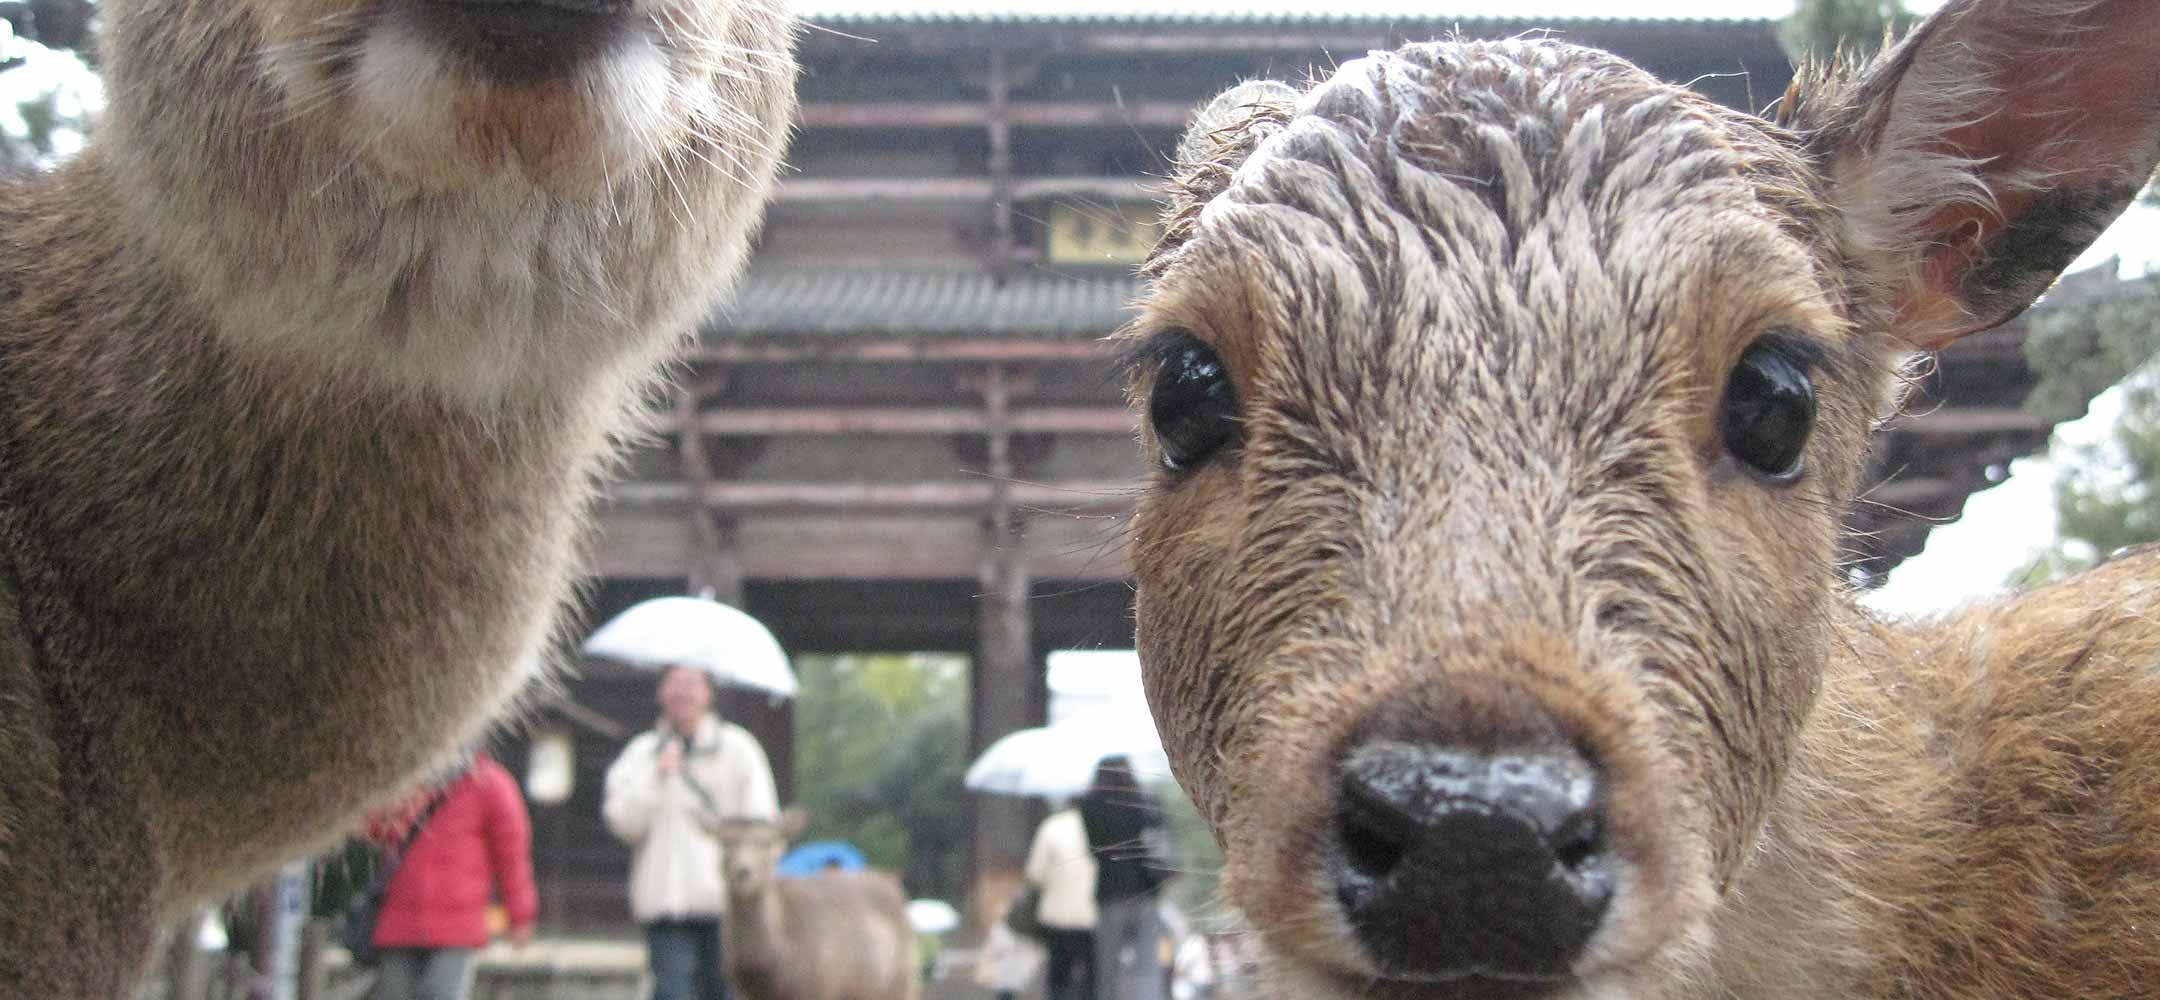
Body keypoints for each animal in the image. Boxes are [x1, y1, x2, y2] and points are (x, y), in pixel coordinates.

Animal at [713, 810, 923, 1000]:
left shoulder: (816, 985)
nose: (743, 871)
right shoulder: (742, 991)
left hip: (901, 981)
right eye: (724, 842)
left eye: (767, 842)